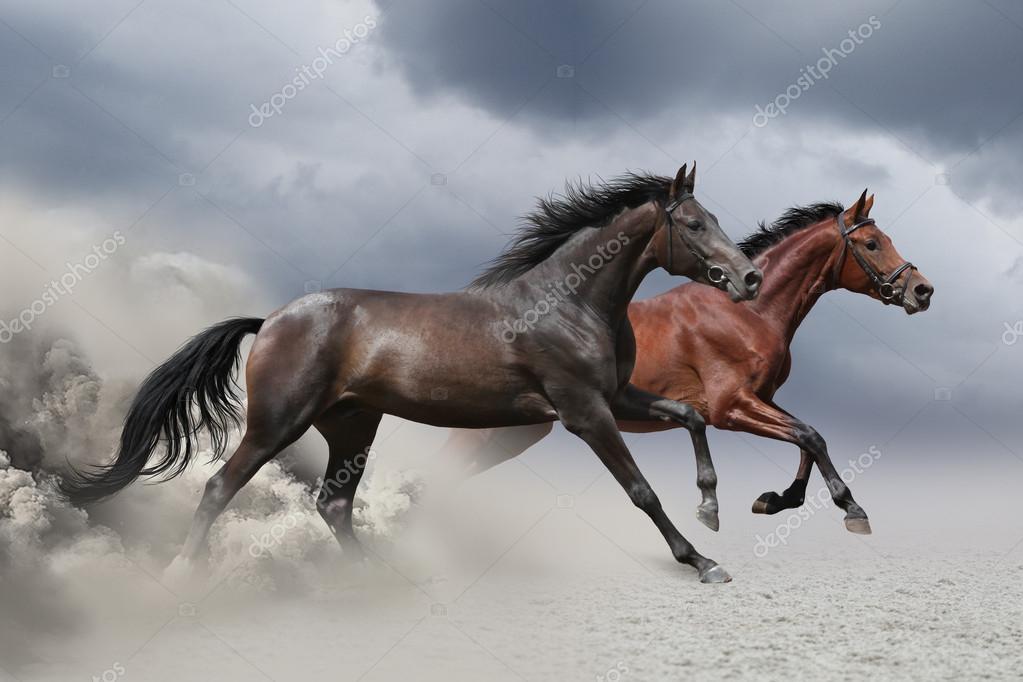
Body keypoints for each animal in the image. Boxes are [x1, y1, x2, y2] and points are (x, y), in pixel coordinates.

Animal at [61, 164, 764, 584]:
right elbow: (641, 490)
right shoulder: (584, 411)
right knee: (219, 488)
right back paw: (180, 576)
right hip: (277, 423)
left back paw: (378, 580)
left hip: (352, 424)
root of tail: (272, 319)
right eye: (694, 223)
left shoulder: (616, 396)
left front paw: (711, 509)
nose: (749, 278)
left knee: (334, 502)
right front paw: (703, 561)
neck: (569, 302)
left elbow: (692, 417)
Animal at [439, 190, 934, 536]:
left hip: (515, 433)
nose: (923, 290)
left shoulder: (760, 398)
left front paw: (776, 499)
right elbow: (810, 436)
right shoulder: (730, 408)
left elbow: (808, 438)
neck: (748, 311)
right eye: (871, 243)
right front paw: (852, 509)